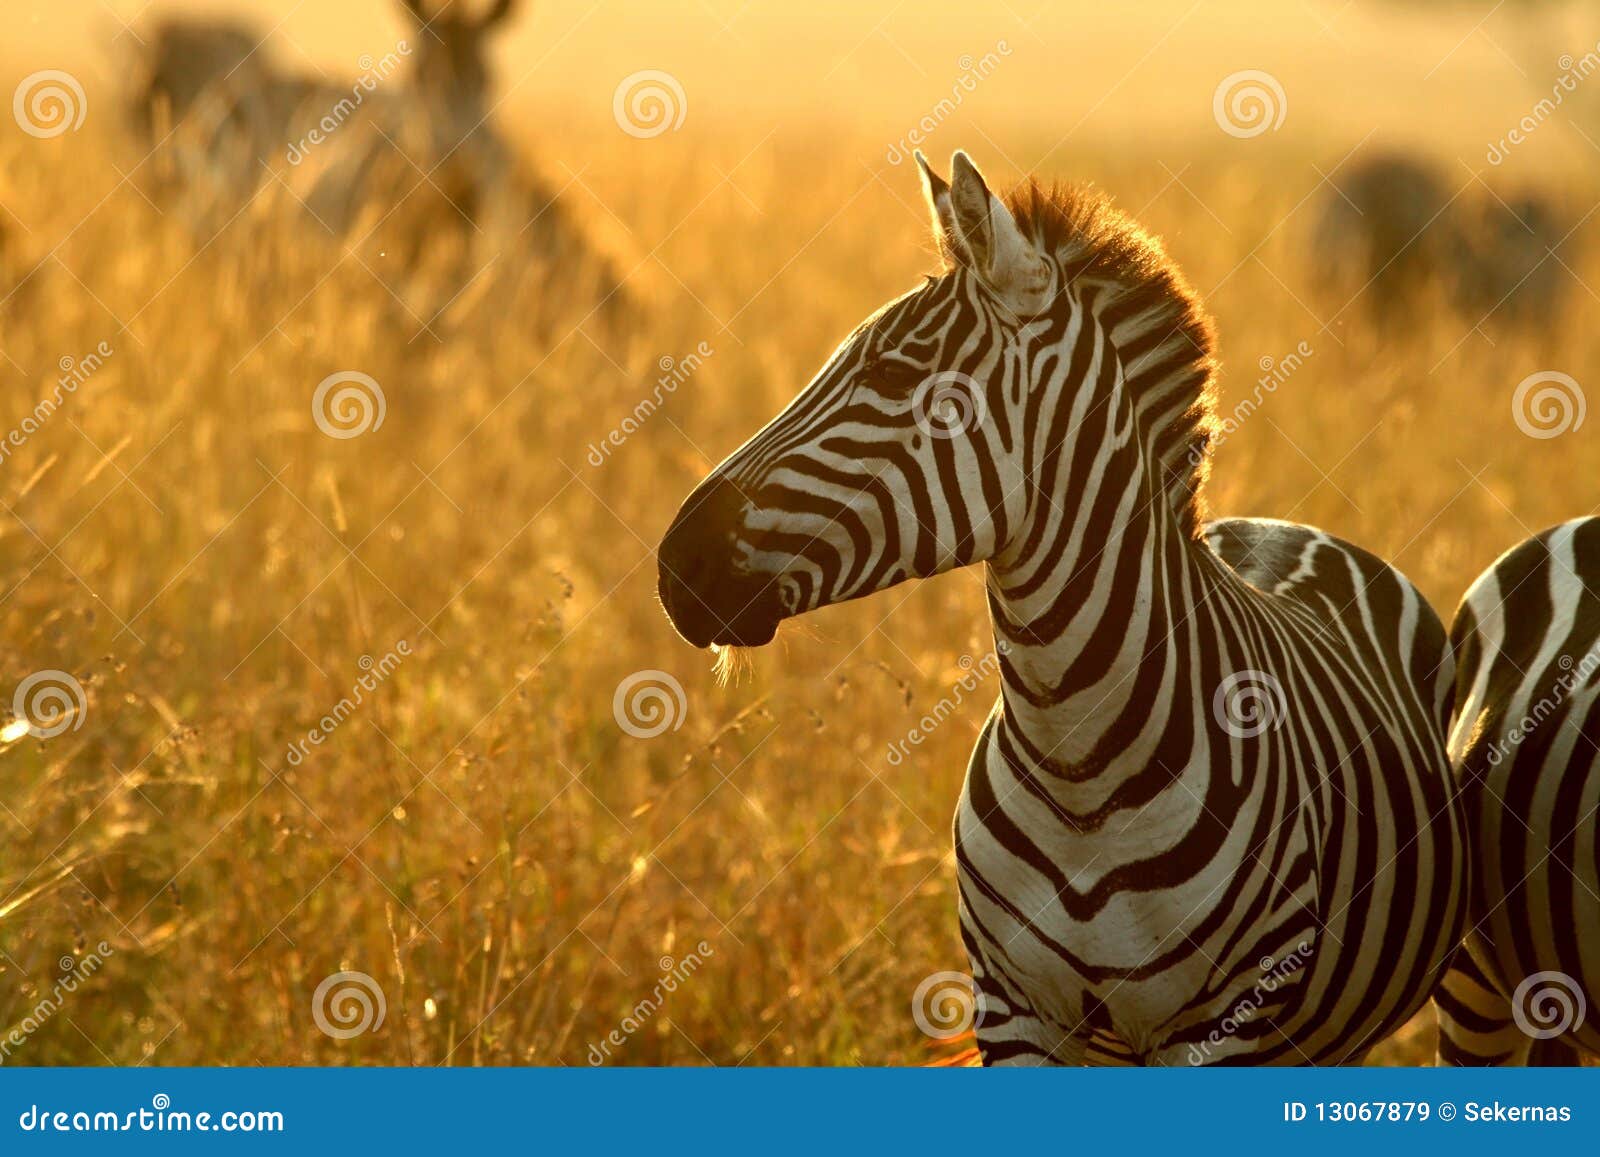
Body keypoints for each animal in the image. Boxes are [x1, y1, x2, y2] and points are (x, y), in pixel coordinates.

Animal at [657, 150, 1468, 1064]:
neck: (1082, 763)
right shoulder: (1014, 1010)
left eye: (893, 376)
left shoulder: (1228, 1028)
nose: (673, 563)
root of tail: (1277, 529)